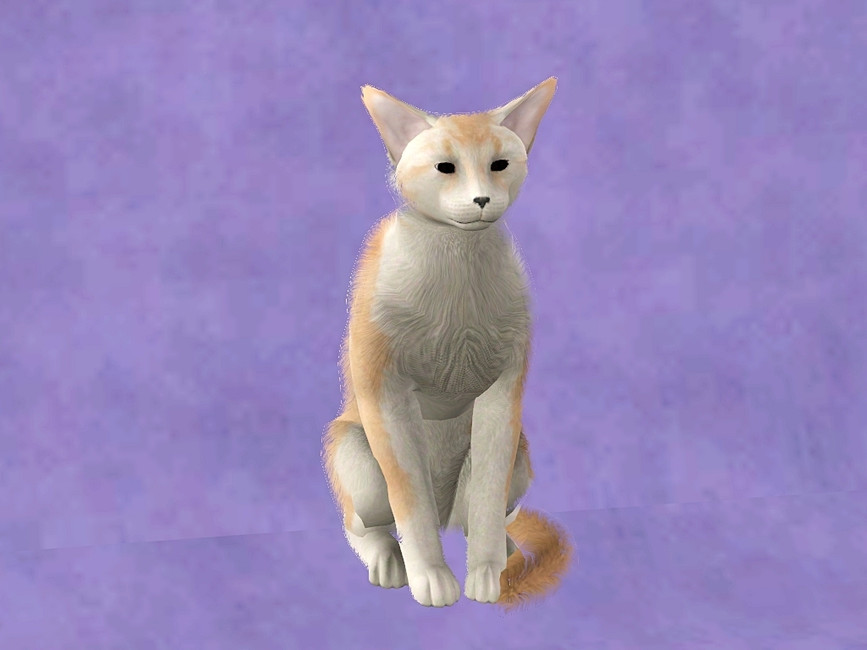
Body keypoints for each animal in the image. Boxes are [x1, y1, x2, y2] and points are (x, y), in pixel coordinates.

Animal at [322, 78, 573, 609]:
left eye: (499, 164)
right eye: (445, 168)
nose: (481, 200)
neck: (459, 262)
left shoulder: (501, 397)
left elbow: (487, 505)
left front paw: (487, 572)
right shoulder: (386, 395)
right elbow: (409, 504)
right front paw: (431, 576)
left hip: (518, 455)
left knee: (483, 513)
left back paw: (507, 551)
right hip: (357, 453)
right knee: (364, 524)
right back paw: (387, 559)